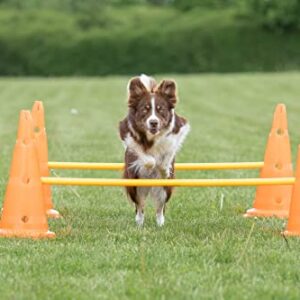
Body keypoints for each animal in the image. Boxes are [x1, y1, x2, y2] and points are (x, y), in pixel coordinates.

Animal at [118, 74, 190, 226]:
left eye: (160, 109)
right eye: (145, 109)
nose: (153, 122)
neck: (153, 137)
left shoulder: (179, 129)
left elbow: (168, 151)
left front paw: (164, 169)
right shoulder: (126, 132)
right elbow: (145, 156)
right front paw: (150, 164)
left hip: (165, 189)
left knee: (160, 206)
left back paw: (160, 223)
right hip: (134, 184)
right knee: (140, 205)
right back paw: (139, 222)